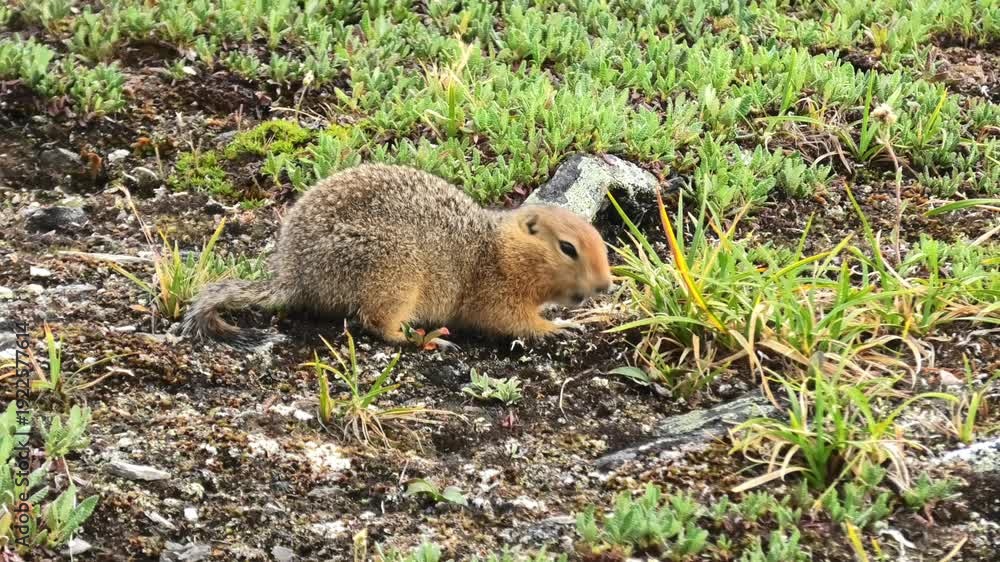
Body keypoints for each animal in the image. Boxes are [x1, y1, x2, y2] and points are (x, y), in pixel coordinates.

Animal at [182, 164, 612, 346]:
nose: (606, 286)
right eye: (568, 248)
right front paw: (559, 327)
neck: (499, 251)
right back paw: (420, 338)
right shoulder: (497, 293)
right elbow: (510, 320)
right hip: (395, 272)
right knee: (374, 322)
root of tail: (293, 275)